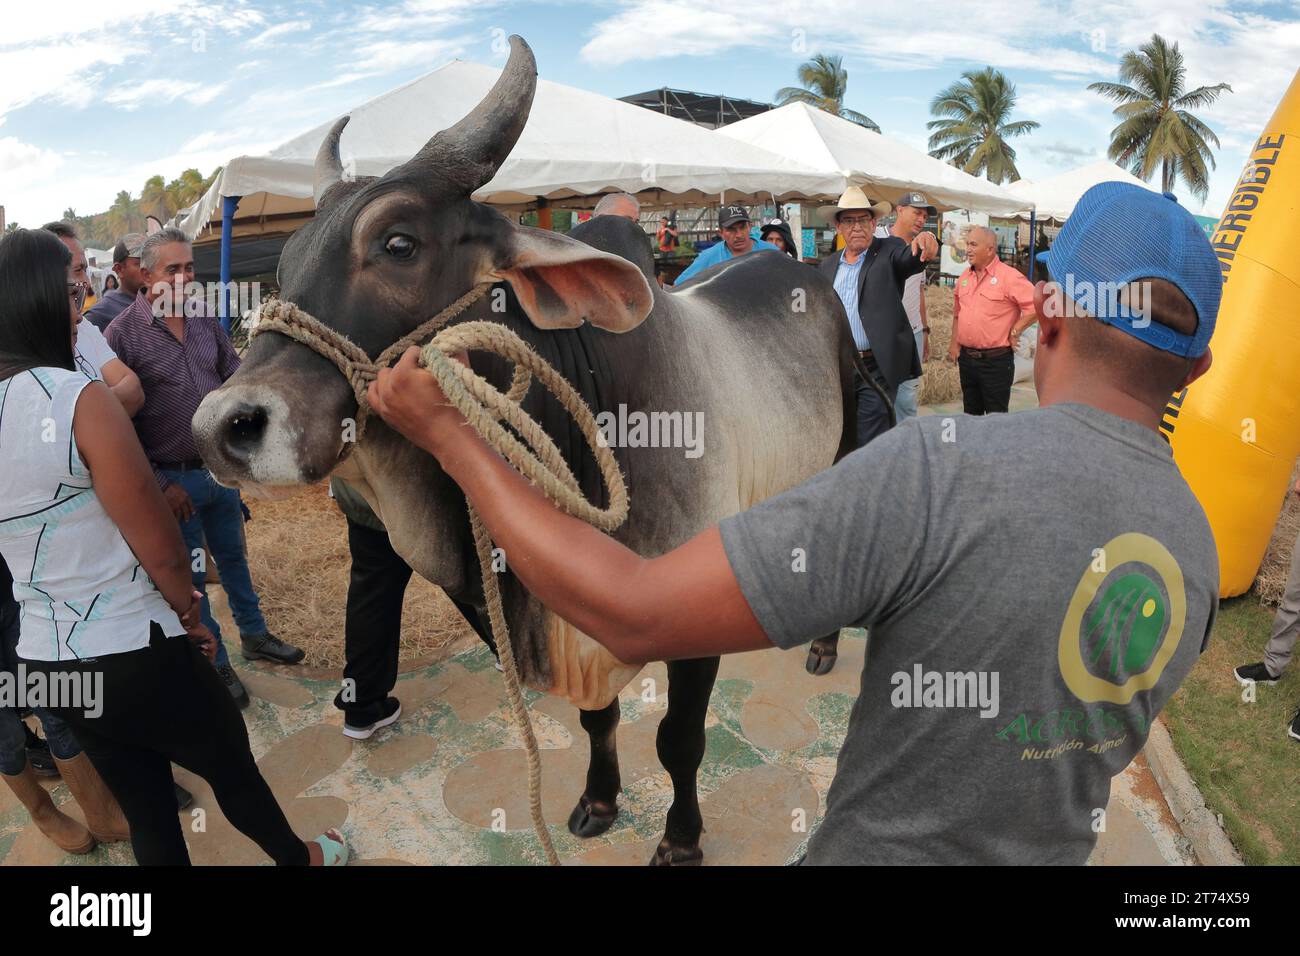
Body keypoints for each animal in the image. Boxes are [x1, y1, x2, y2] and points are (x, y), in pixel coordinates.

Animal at [193, 35, 857, 865]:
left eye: (398, 242)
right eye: (280, 268)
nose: (222, 426)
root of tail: (798, 266)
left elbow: (679, 741)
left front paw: (679, 840)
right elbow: (599, 720)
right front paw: (598, 800)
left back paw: (824, 645)